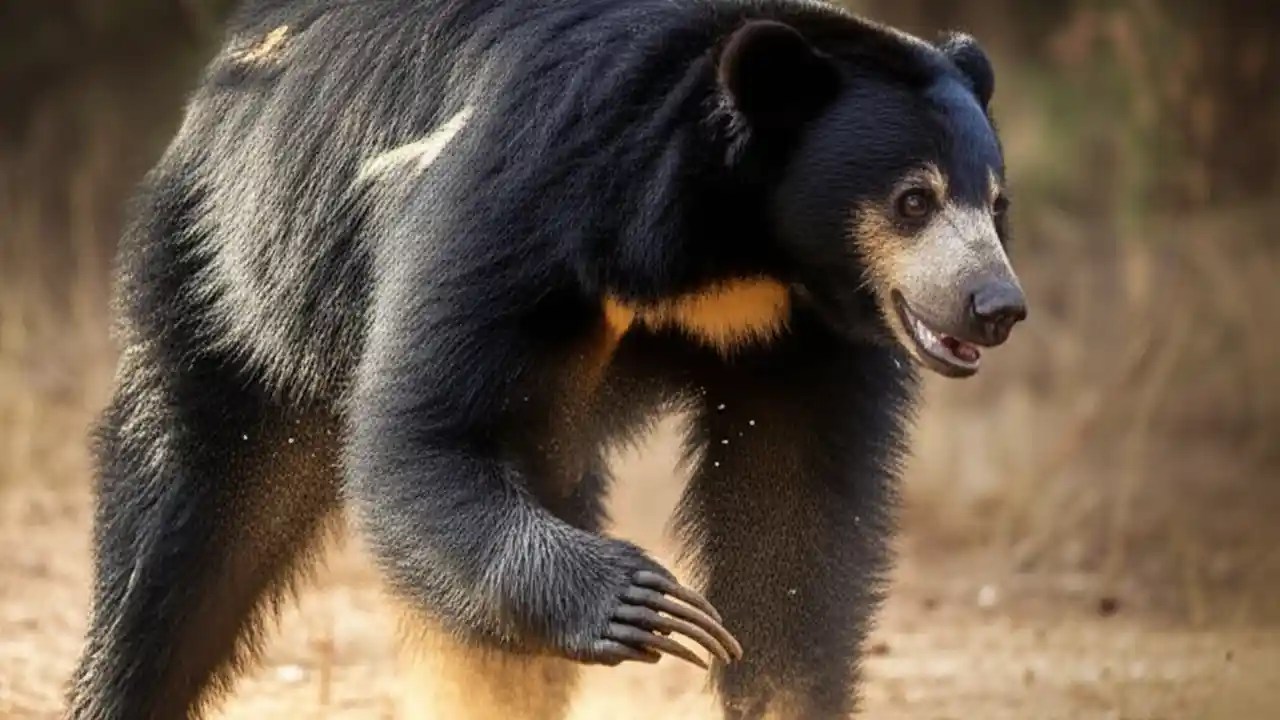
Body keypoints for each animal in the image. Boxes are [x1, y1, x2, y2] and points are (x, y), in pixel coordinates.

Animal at [67, 1, 1026, 718]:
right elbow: (427, 435)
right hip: (235, 270)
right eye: (913, 200)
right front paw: (646, 604)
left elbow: (793, 525)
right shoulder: (523, 193)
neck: (738, 248)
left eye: (994, 203)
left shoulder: (806, 336)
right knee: (183, 523)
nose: (997, 308)